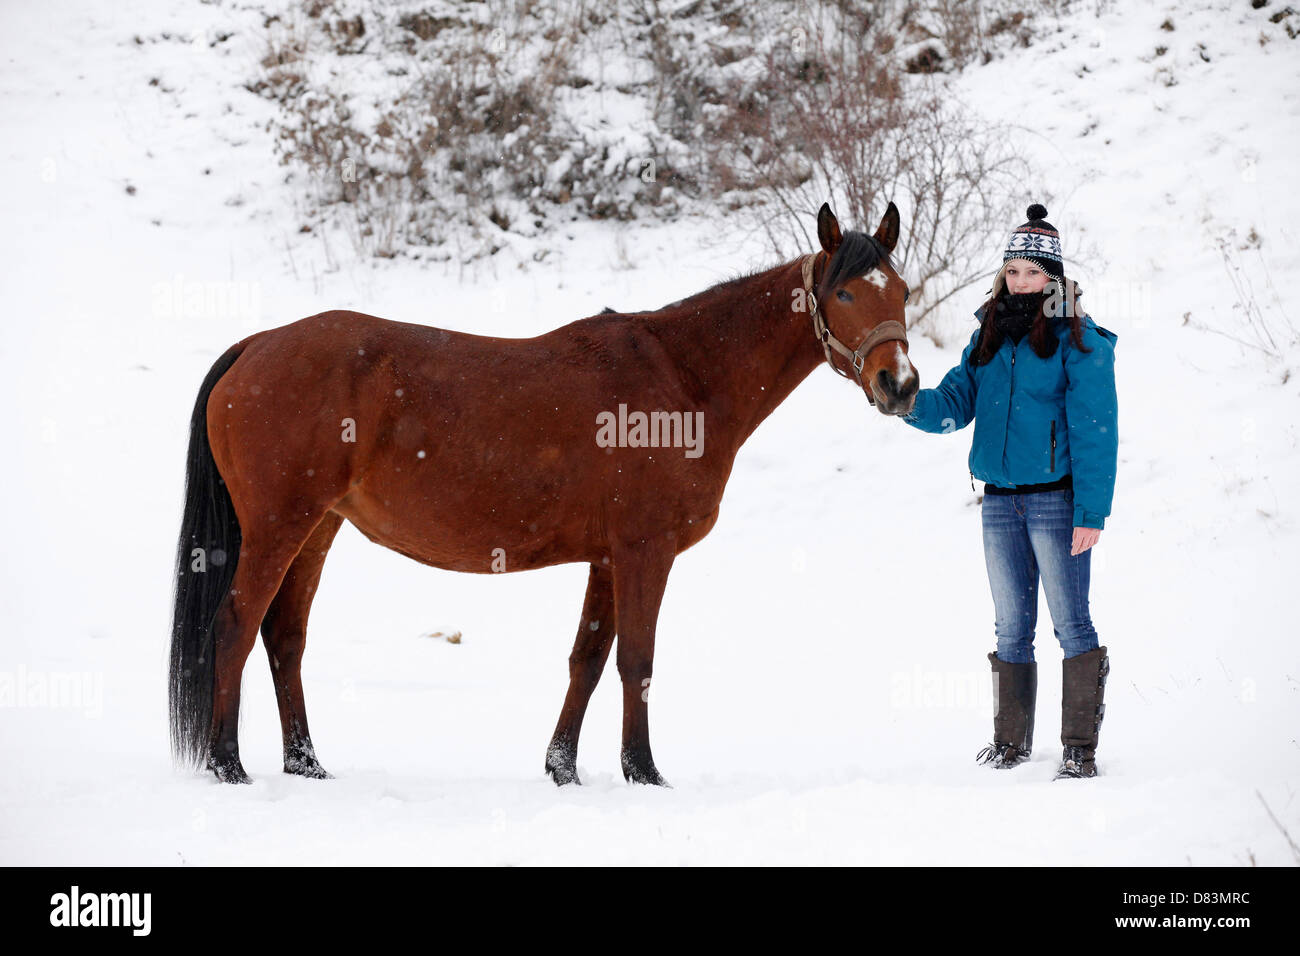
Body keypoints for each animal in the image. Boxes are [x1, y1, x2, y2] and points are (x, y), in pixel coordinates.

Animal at [169, 202, 919, 786]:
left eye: (903, 292)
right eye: (846, 295)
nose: (901, 385)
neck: (683, 377)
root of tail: (258, 344)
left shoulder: (609, 557)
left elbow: (587, 660)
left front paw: (563, 767)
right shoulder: (645, 551)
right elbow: (636, 661)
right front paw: (644, 771)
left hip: (317, 529)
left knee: (284, 637)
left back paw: (306, 763)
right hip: (278, 527)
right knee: (235, 626)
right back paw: (228, 764)